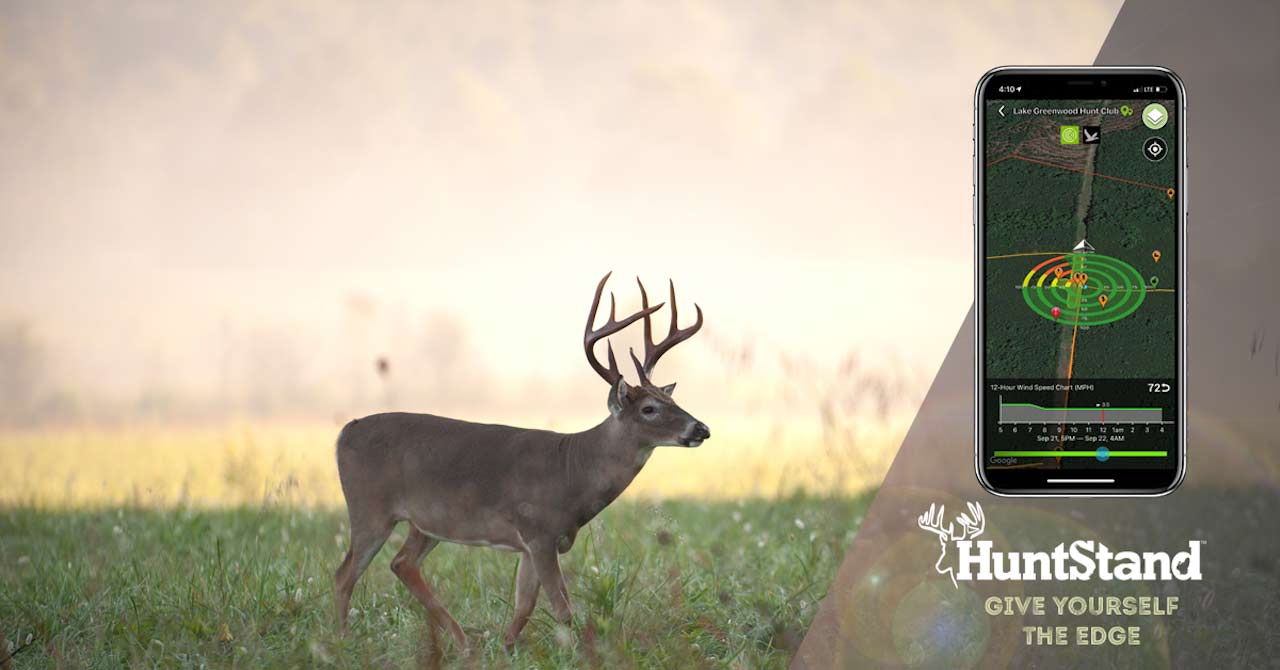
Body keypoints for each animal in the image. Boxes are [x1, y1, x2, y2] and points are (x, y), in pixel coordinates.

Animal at [333, 272, 711, 649]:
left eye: (672, 400)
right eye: (649, 409)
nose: (701, 428)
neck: (573, 471)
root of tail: (344, 433)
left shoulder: (532, 544)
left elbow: (524, 606)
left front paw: (505, 648)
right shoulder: (537, 531)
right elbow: (562, 607)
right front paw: (576, 652)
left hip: (426, 521)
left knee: (402, 564)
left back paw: (463, 642)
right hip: (369, 508)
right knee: (344, 573)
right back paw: (342, 639)